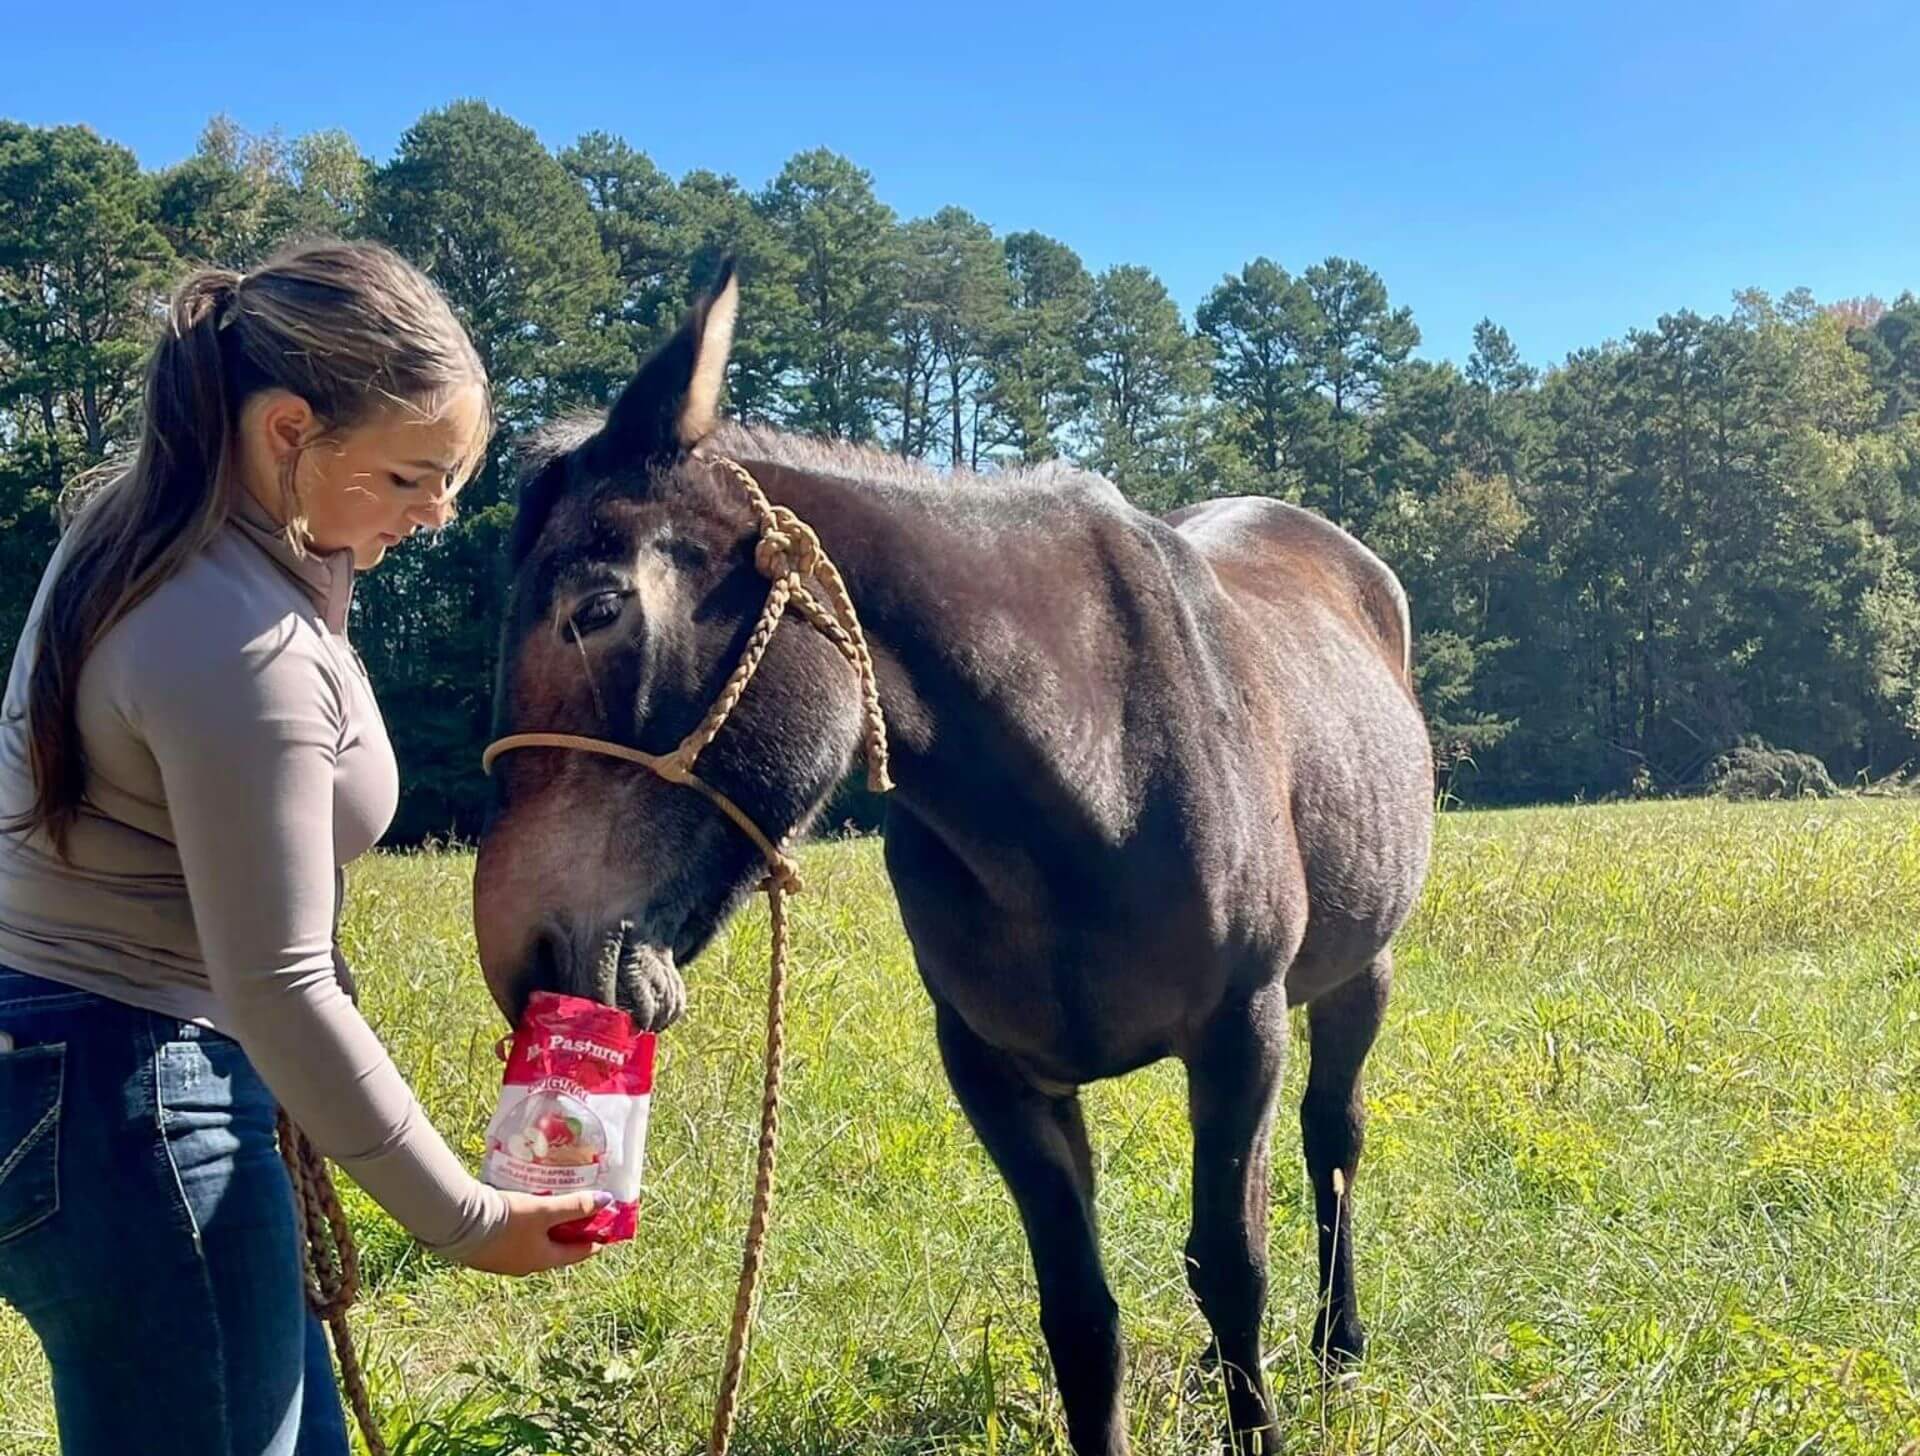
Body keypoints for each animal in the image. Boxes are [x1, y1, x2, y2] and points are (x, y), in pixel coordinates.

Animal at [472, 262, 1434, 1454]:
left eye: (597, 607)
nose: (517, 948)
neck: (1092, 774)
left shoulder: (1239, 1032)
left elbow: (1231, 1266)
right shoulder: (993, 1072)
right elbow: (1080, 1313)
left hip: (1357, 974)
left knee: (1331, 1140)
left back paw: (1339, 1345)